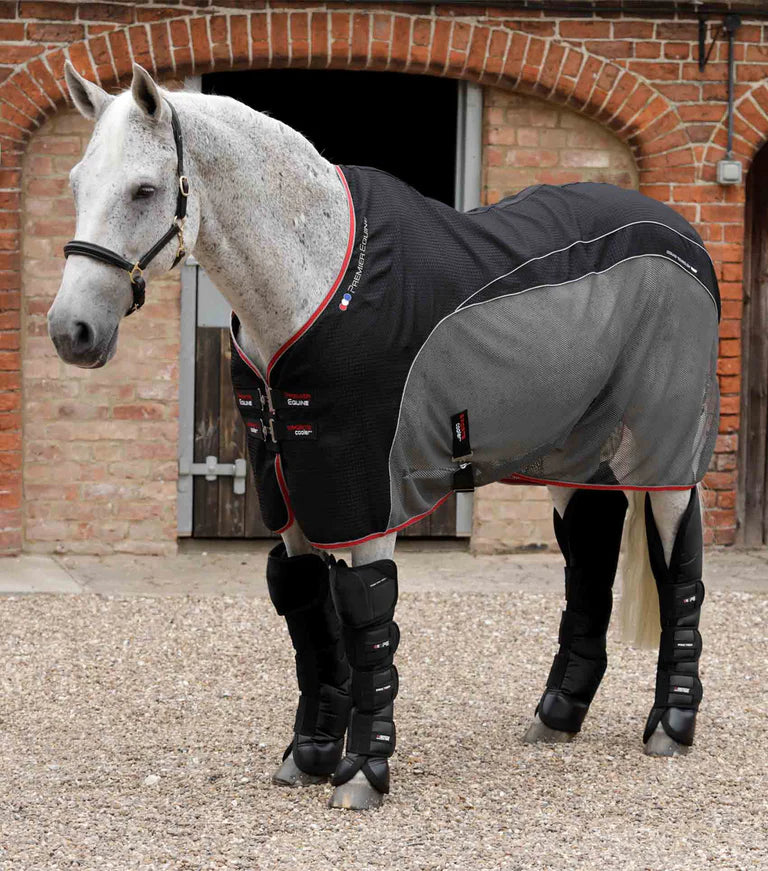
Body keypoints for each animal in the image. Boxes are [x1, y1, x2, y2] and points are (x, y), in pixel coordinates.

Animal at [48, 63, 718, 811]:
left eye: (144, 189)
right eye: (76, 183)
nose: (72, 331)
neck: (314, 285)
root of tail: (682, 233)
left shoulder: (363, 492)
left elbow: (369, 624)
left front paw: (364, 772)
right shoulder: (292, 490)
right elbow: (311, 618)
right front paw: (311, 753)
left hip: (664, 450)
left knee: (679, 562)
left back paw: (672, 723)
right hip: (573, 455)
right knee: (590, 557)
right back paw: (558, 715)